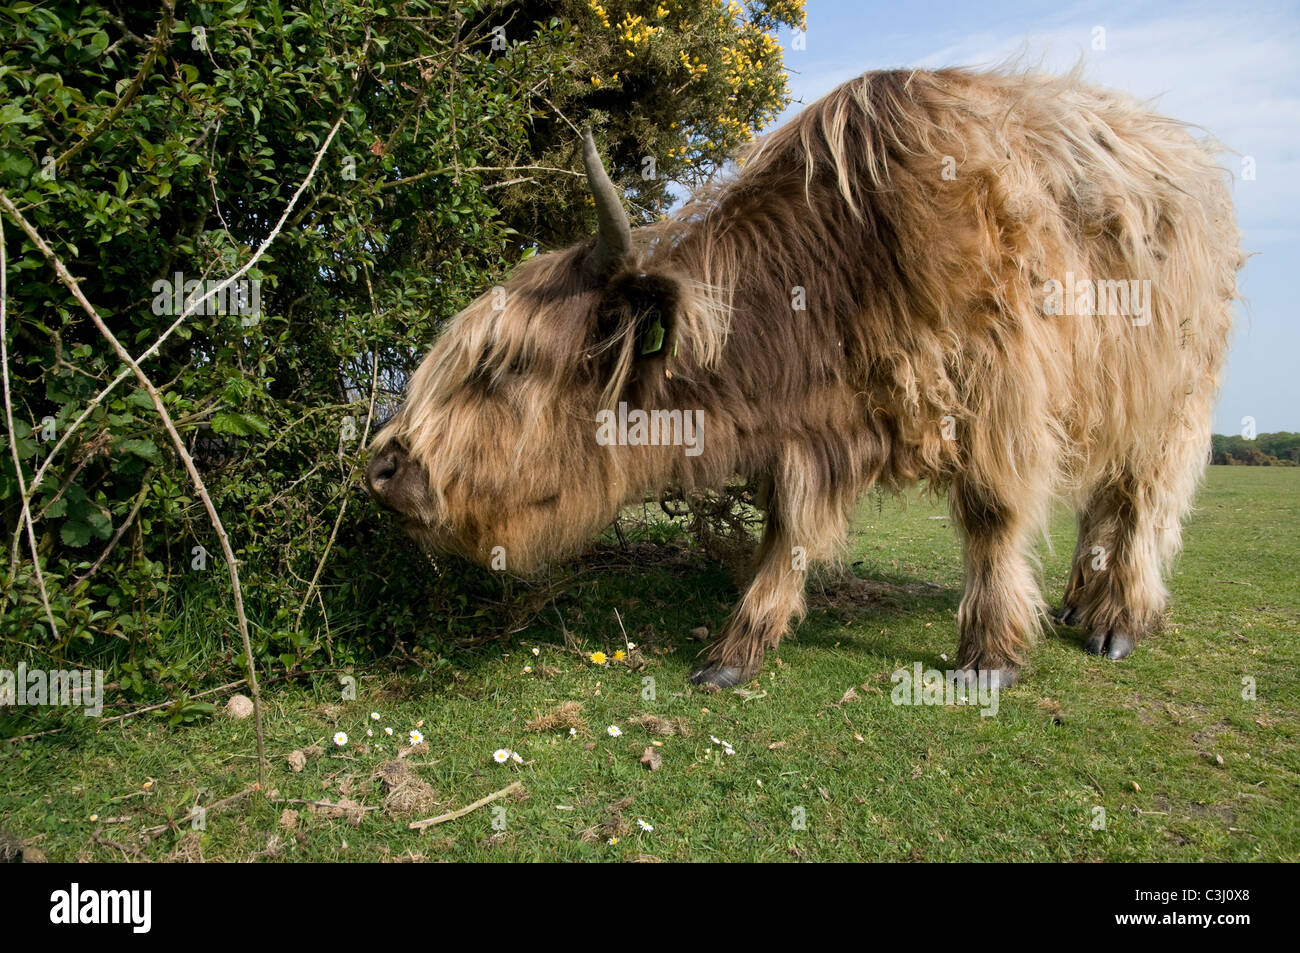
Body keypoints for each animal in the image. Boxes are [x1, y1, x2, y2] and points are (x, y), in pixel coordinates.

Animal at [366, 67, 1241, 688]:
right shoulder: (810, 432)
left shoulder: (1000, 398)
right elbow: (785, 528)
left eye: (508, 363)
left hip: (1176, 397)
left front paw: (989, 654)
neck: (846, 265)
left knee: (1140, 499)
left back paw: (1117, 619)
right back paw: (1078, 602)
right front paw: (737, 646)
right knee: (1106, 500)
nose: (382, 466)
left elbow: (991, 517)